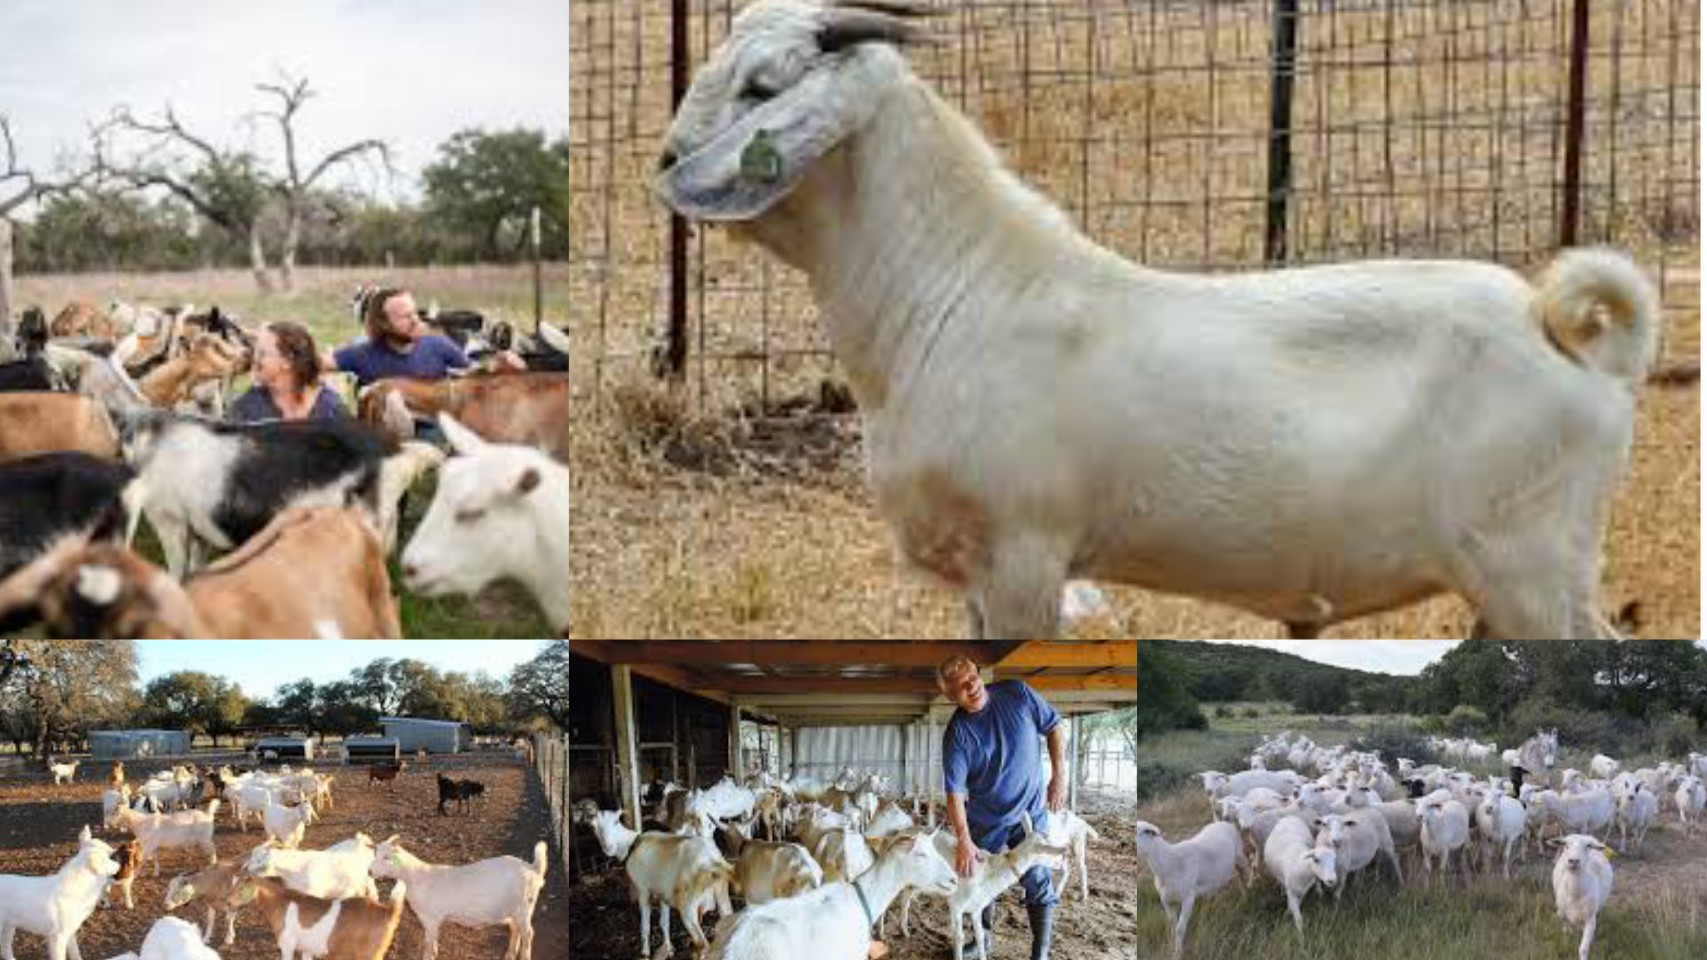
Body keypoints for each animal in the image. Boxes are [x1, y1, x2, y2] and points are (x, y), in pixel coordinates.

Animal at [657, 0, 1659, 640]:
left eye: (763, 87)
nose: (666, 159)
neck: (962, 284)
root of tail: (1561, 332)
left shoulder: (1024, 554)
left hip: (1531, 563)